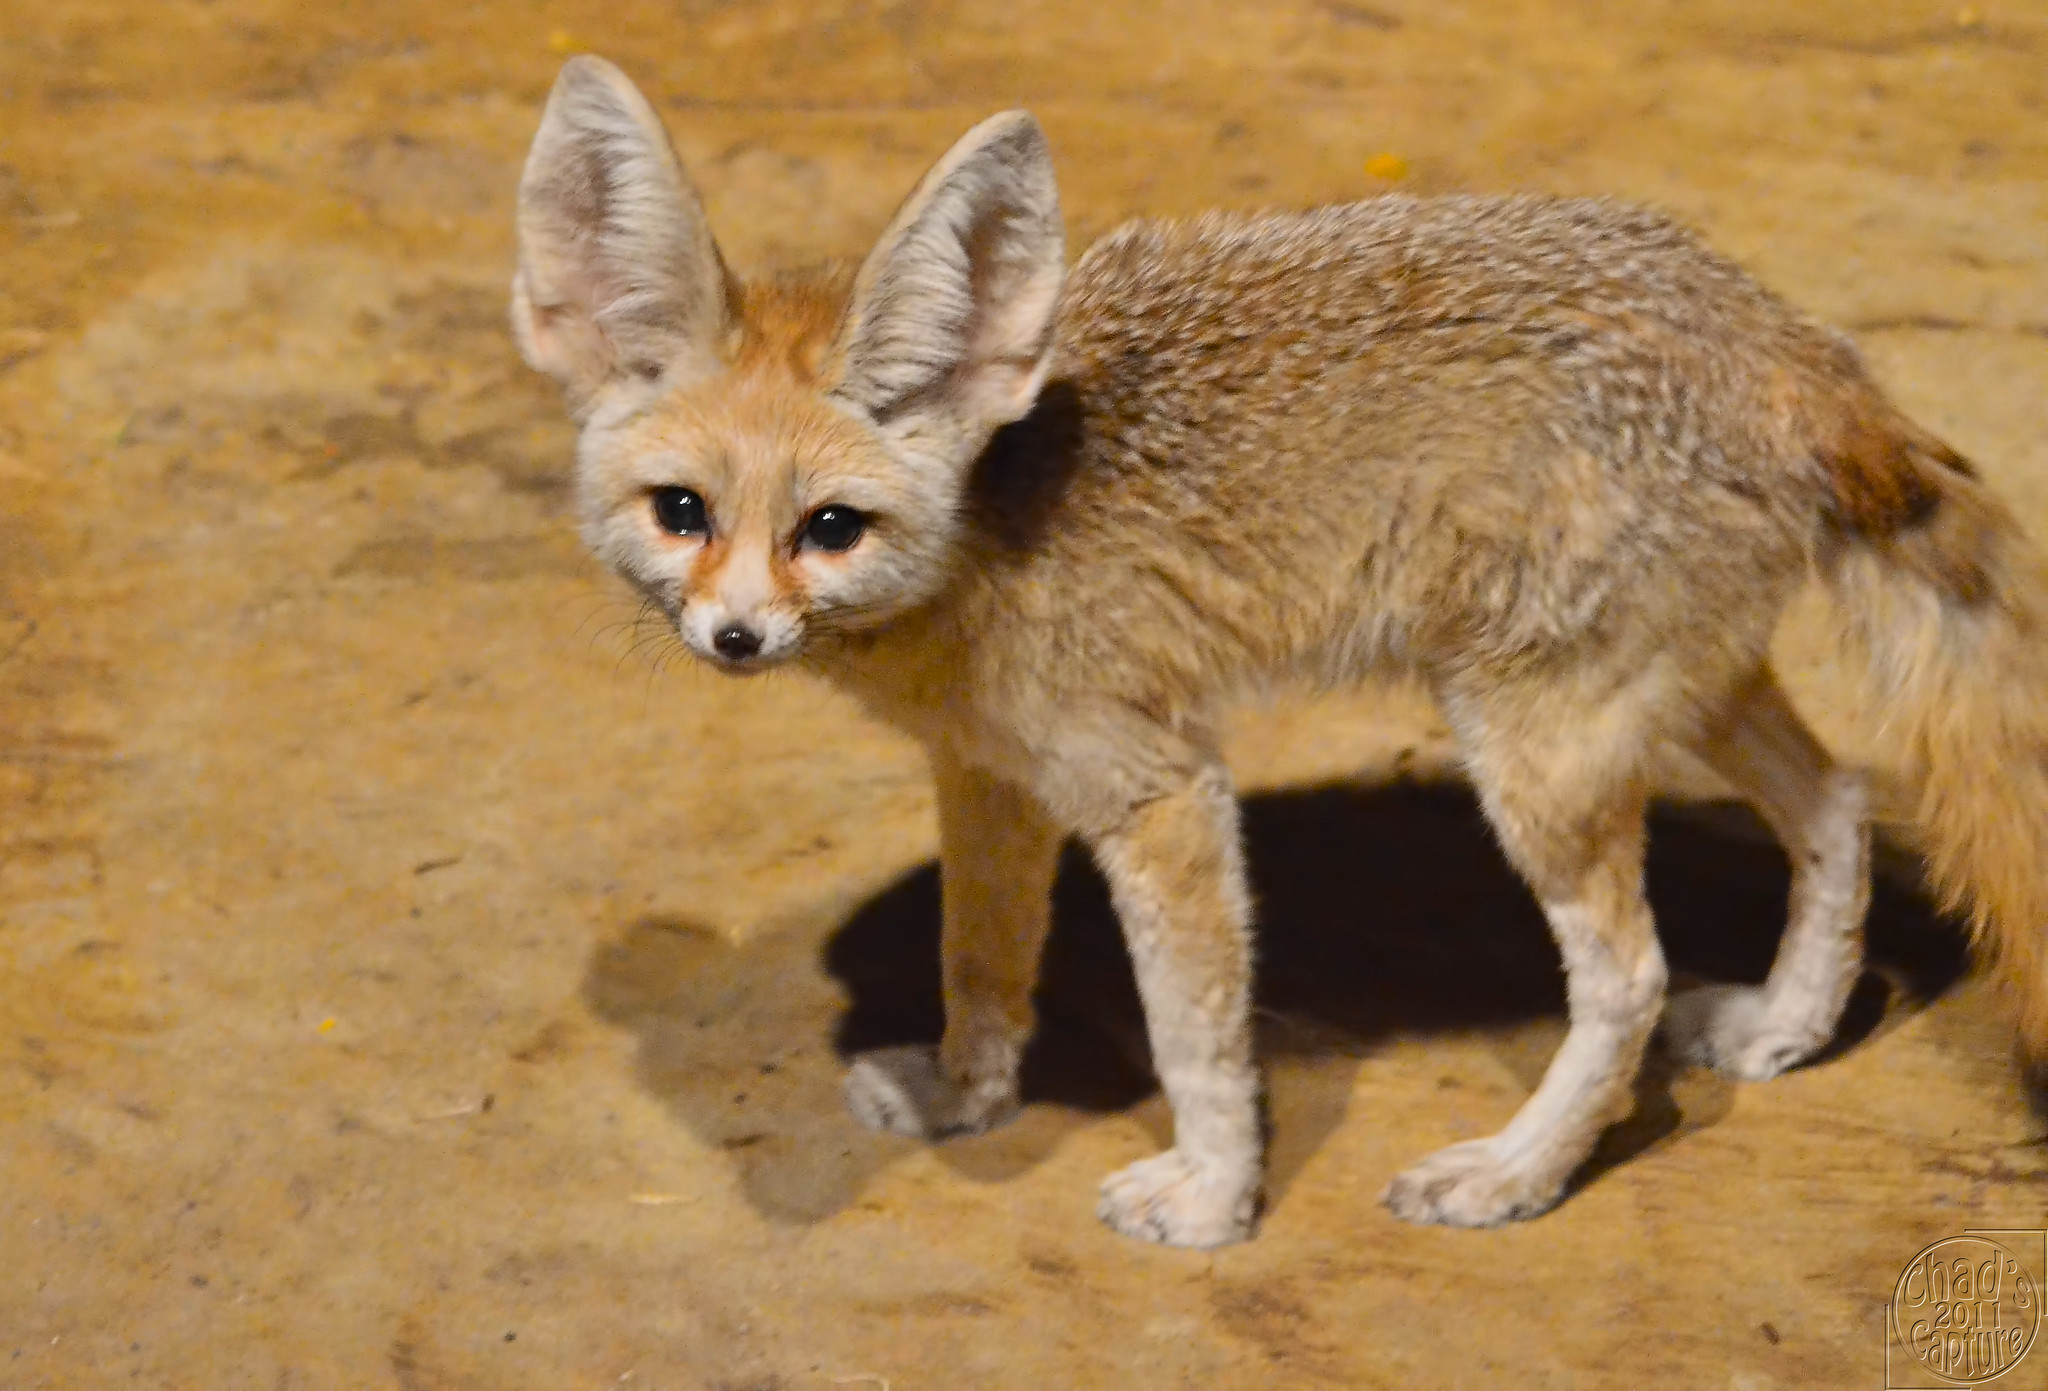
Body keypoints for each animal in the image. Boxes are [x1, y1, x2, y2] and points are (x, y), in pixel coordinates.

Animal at [511, 55, 2048, 1247]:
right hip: (1675, 693)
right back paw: (1790, 1024)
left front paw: (1212, 1197)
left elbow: (1193, 1032)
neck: (988, 529)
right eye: (683, 513)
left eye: (828, 527)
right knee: (1841, 798)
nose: (735, 634)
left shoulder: (1159, 788)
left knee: (1631, 973)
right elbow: (979, 960)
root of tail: (1783, 336)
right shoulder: (992, 775)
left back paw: (1517, 1171)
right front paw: (967, 1097)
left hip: (1537, 747)